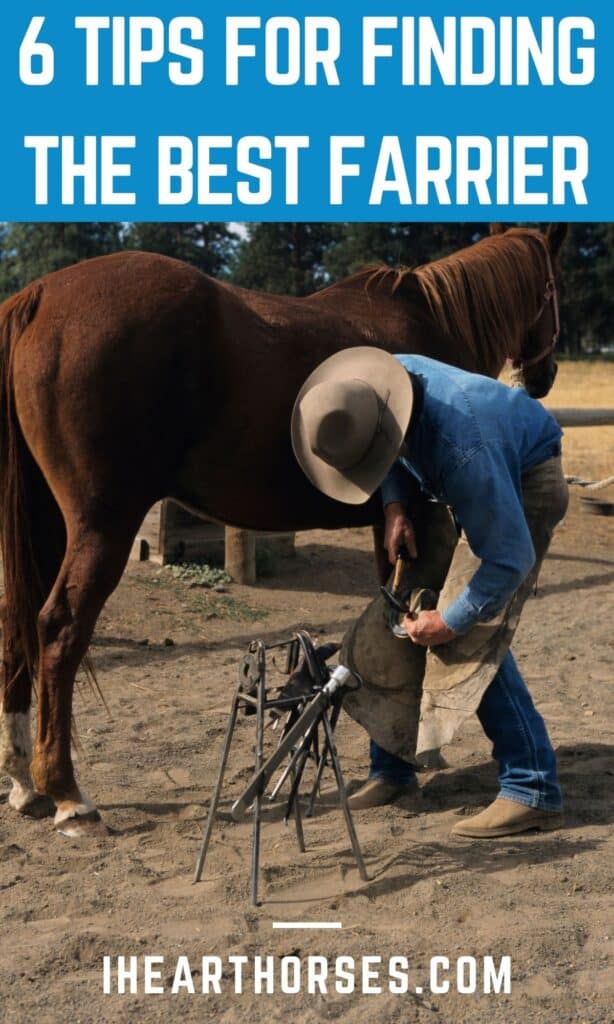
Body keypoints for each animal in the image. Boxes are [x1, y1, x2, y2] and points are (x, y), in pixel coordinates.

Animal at [0, 222, 567, 836]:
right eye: (554, 287)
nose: (545, 377)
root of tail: (41, 297)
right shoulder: (426, 519)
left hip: (45, 523)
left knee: (16, 624)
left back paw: (24, 783)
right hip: (101, 526)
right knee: (59, 630)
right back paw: (68, 795)